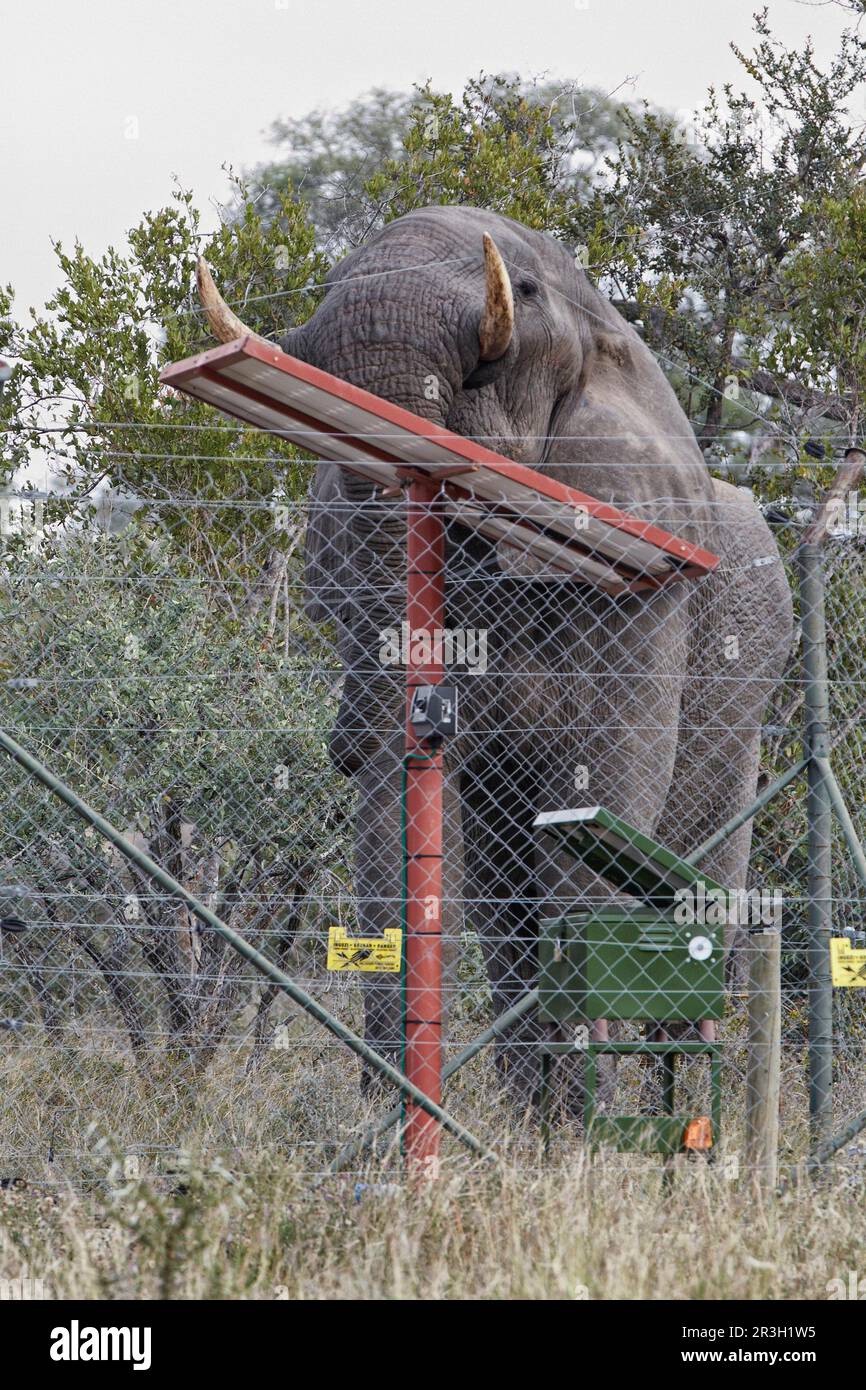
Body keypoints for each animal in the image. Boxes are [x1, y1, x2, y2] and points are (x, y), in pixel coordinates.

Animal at [197, 205, 794, 1103]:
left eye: (528, 290)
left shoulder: (648, 591)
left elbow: (596, 794)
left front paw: (584, 1130)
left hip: (744, 718)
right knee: (501, 910)